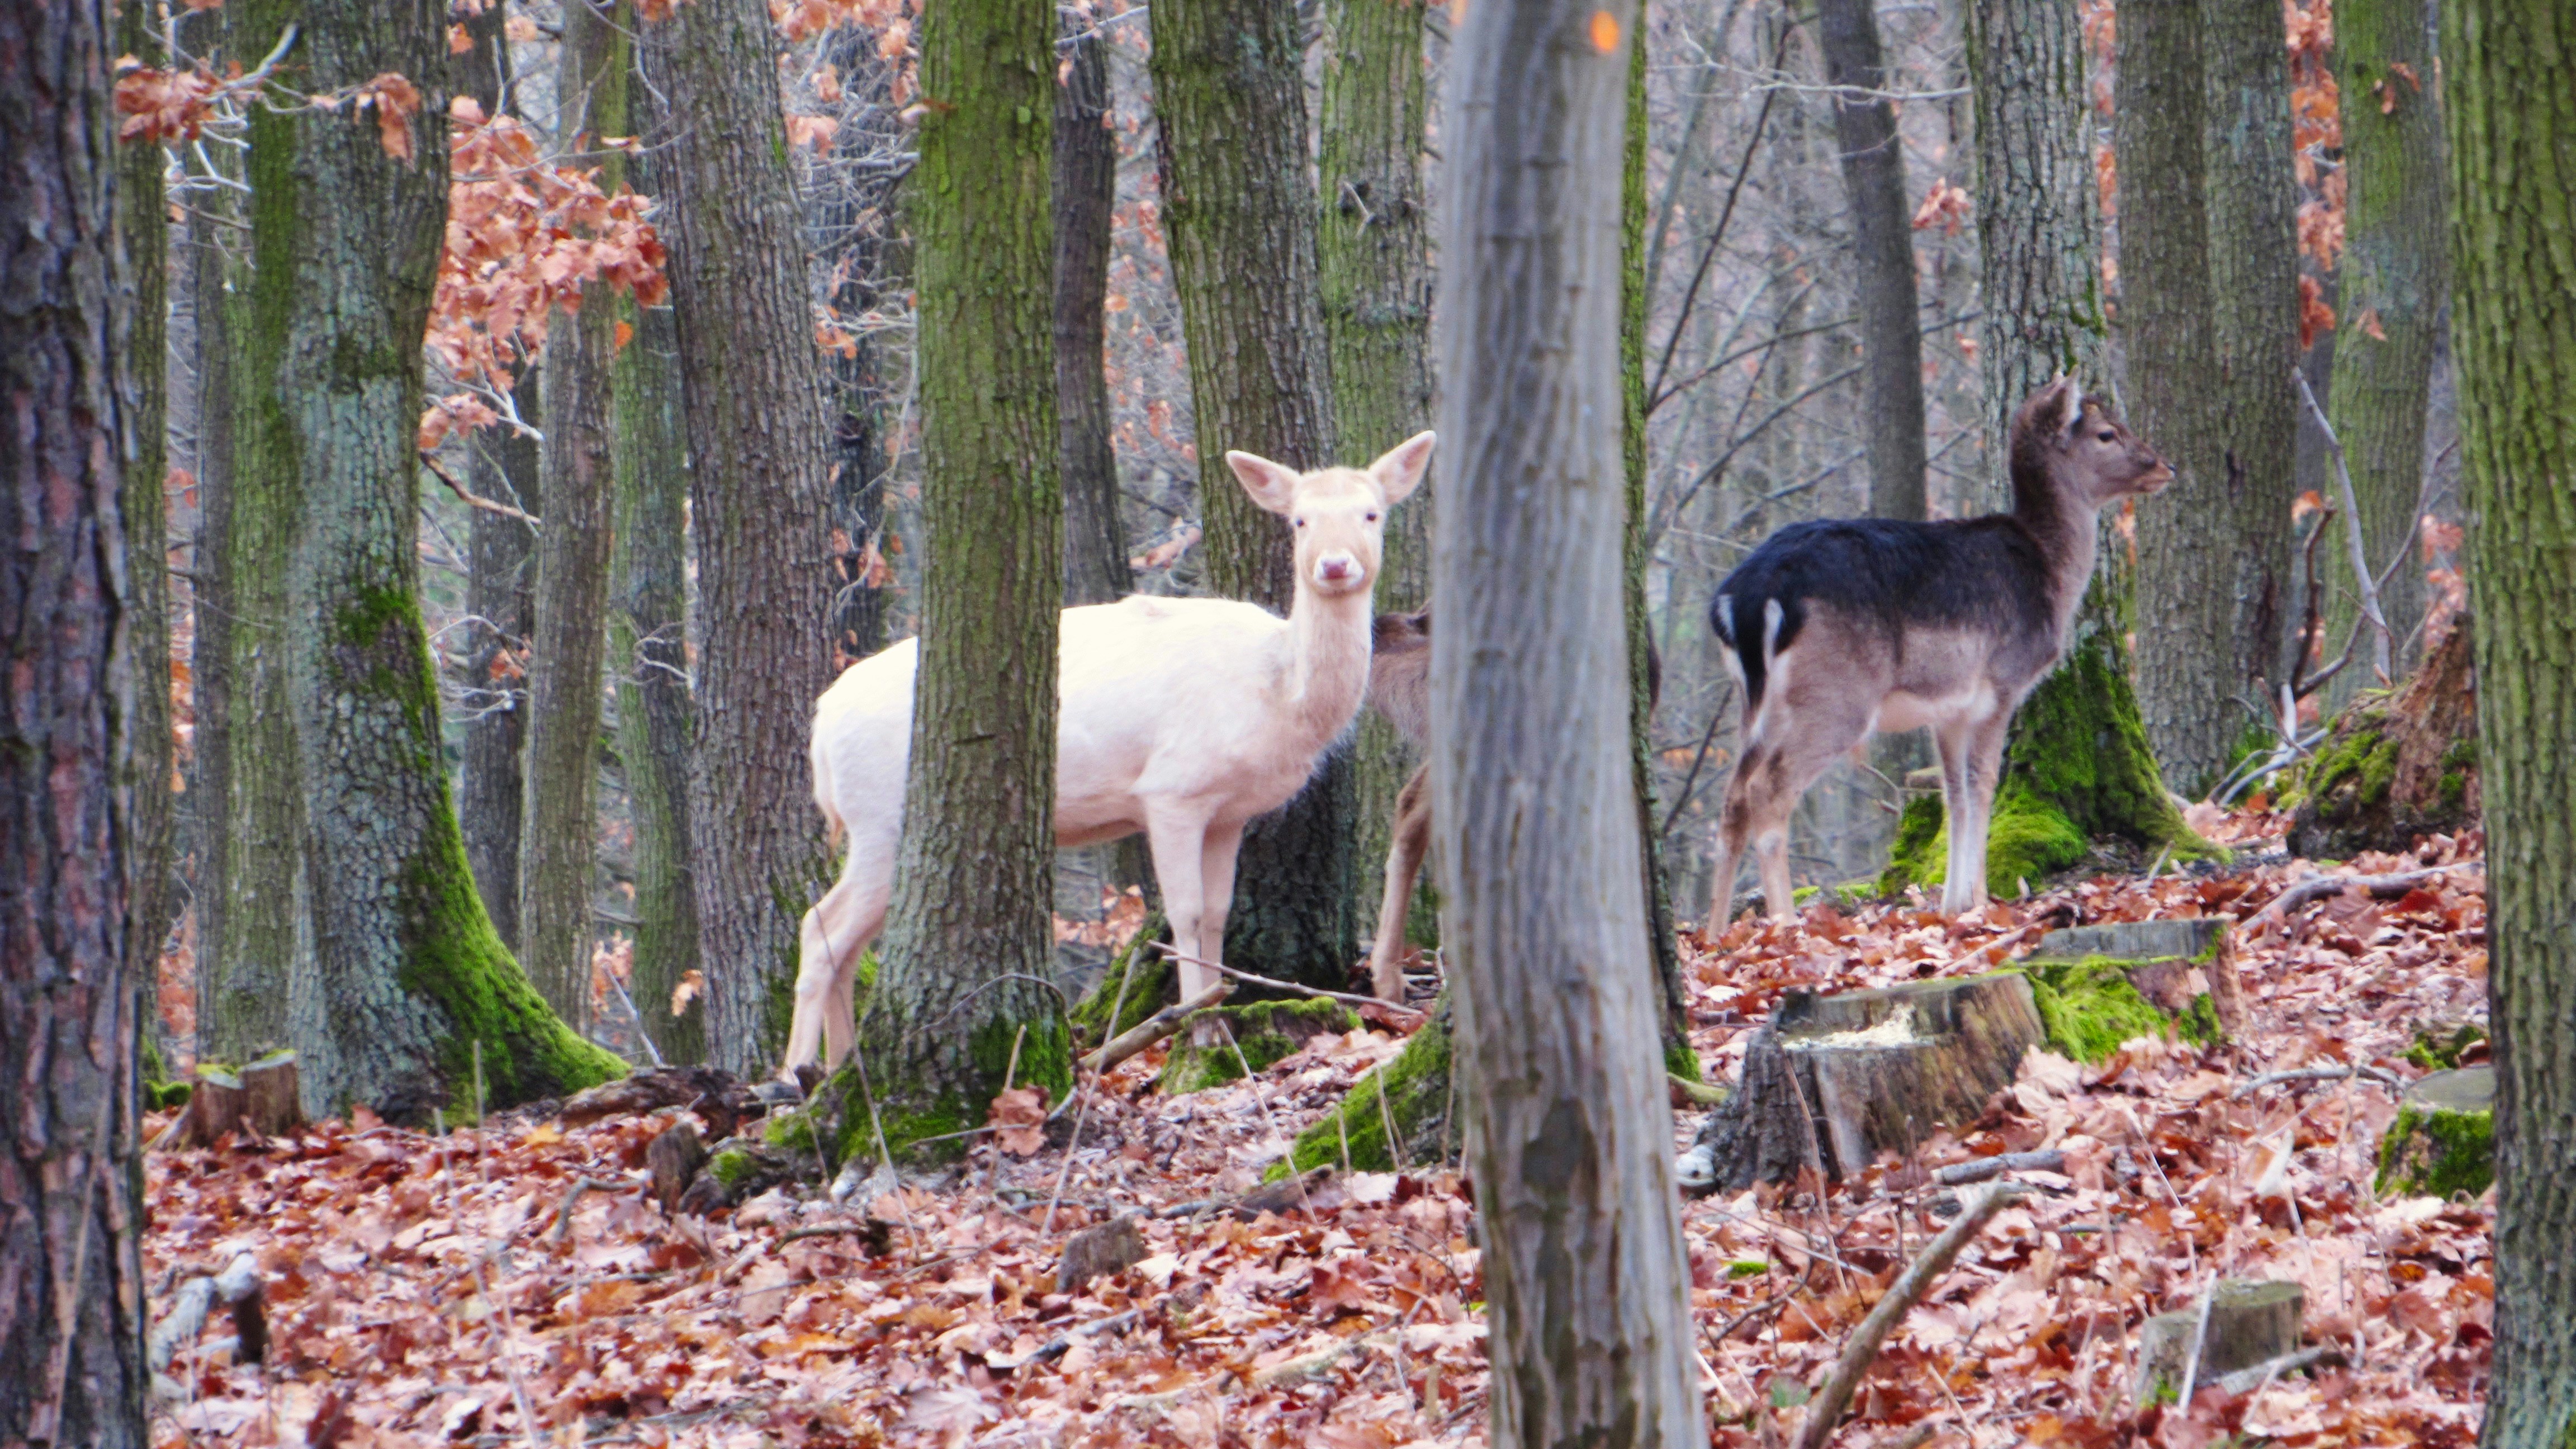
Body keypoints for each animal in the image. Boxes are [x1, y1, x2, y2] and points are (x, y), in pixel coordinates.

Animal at [780, 432, 1436, 1078]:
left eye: (1372, 514)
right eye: (1300, 520)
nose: (1335, 564)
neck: (1277, 693)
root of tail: (822, 728)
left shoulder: (1230, 811)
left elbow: (1219, 911)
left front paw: (1217, 1017)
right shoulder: (1171, 791)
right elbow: (1186, 913)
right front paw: (1195, 1029)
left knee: (848, 943)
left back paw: (838, 1069)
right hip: (879, 816)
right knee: (819, 926)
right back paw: (793, 1074)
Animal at [1702, 377, 2172, 929]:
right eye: (2106, 433)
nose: (2165, 467)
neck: (2051, 575)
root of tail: (1746, 598)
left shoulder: (1948, 709)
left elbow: (1955, 794)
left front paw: (1952, 905)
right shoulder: (2002, 683)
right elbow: (1985, 783)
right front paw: (1983, 901)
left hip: (1754, 702)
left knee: (1732, 799)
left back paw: (1715, 935)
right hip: (1836, 696)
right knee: (1767, 792)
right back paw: (1784, 924)